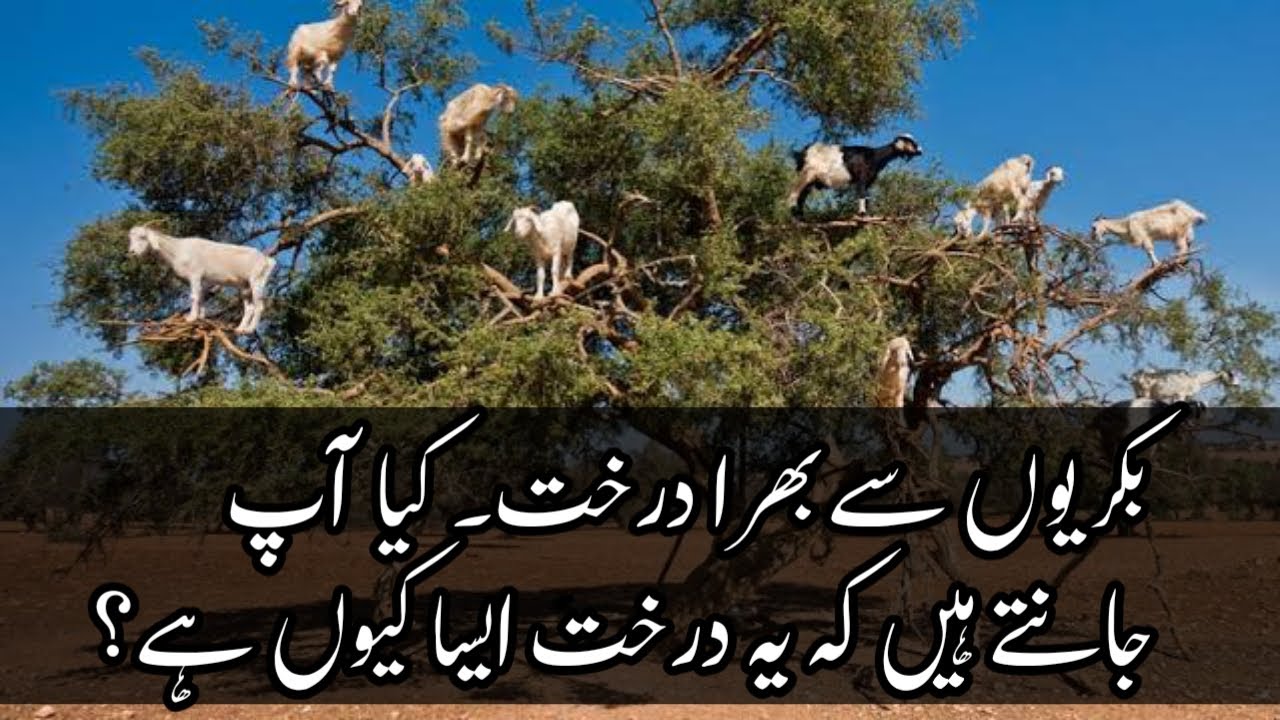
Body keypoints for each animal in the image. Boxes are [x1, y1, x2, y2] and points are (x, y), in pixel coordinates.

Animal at [128, 225, 277, 335]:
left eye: (142, 237)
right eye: (130, 238)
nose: (132, 252)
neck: (178, 250)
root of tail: (267, 260)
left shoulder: (195, 274)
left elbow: (194, 296)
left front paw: (191, 318)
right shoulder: (203, 280)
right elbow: (201, 297)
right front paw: (201, 317)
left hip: (257, 280)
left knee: (259, 306)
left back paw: (250, 329)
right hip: (244, 285)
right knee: (249, 308)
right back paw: (240, 329)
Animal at [789, 135, 923, 218]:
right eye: (911, 143)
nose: (920, 150)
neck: (873, 156)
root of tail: (803, 152)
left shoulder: (868, 181)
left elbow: (867, 197)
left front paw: (867, 214)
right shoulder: (861, 178)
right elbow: (862, 194)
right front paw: (862, 214)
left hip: (811, 180)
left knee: (802, 196)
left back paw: (801, 216)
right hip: (806, 175)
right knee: (795, 193)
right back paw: (794, 213)